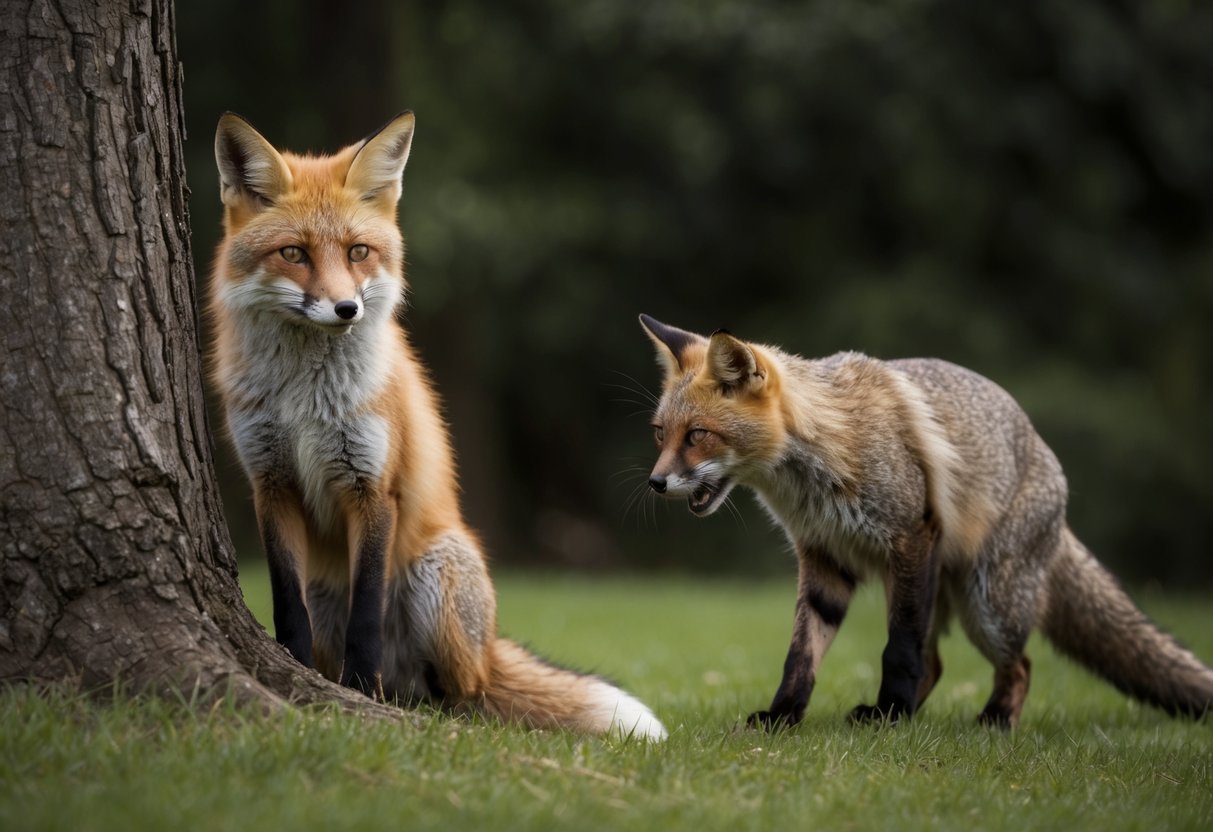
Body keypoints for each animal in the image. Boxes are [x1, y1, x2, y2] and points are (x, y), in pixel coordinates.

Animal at [205, 111, 666, 739]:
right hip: (335, 589)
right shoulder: (270, 484)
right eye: (293, 253)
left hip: (436, 572)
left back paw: (418, 704)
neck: (304, 402)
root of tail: (489, 648)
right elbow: (285, 603)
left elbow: (366, 614)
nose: (346, 309)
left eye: (358, 251)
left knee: (466, 693)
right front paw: (294, 668)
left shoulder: (374, 487)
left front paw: (359, 691)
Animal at [638, 313, 1213, 729]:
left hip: (987, 603)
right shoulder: (824, 559)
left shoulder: (910, 536)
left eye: (698, 435)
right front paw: (783, 716)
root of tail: (1052, 471)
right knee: (937, 662)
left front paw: (890, 714)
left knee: (1018, 665)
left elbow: (899, 648)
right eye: (660, 434)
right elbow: (801, 655)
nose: (655, 482)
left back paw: (990, 721)